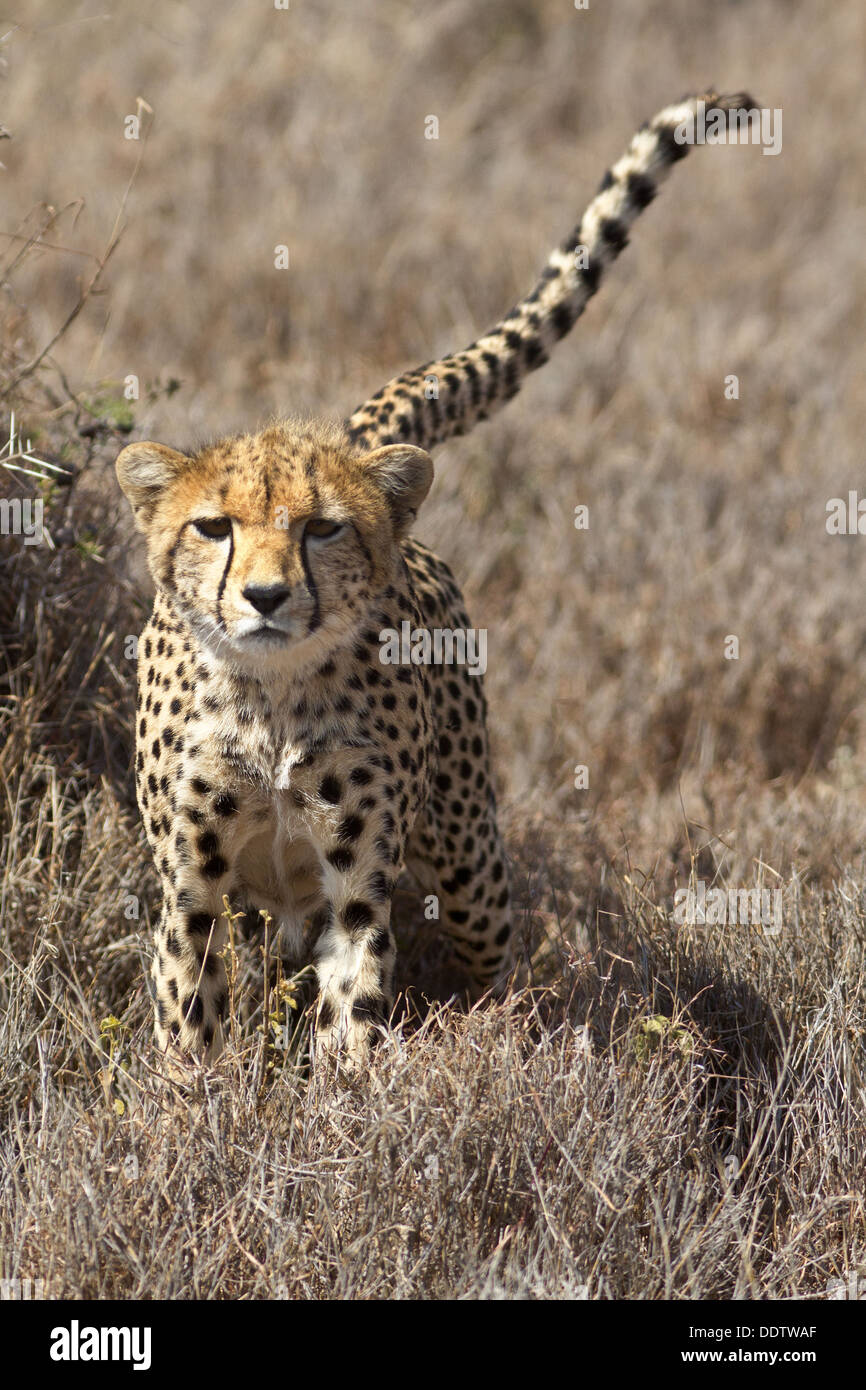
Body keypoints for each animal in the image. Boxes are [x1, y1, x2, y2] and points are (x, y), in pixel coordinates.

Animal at [116, 91, 755, 1074]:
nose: (264, 597)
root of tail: (358, 437)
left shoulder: (358, 875)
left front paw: (346, 1100)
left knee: (487, 941)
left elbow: (353, 995)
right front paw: (195, 1101)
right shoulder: (194, 880)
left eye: (321, 528)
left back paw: (502, 1028)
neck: (273, 695)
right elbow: (192, 1009)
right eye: (213, 527)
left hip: (467, 853)